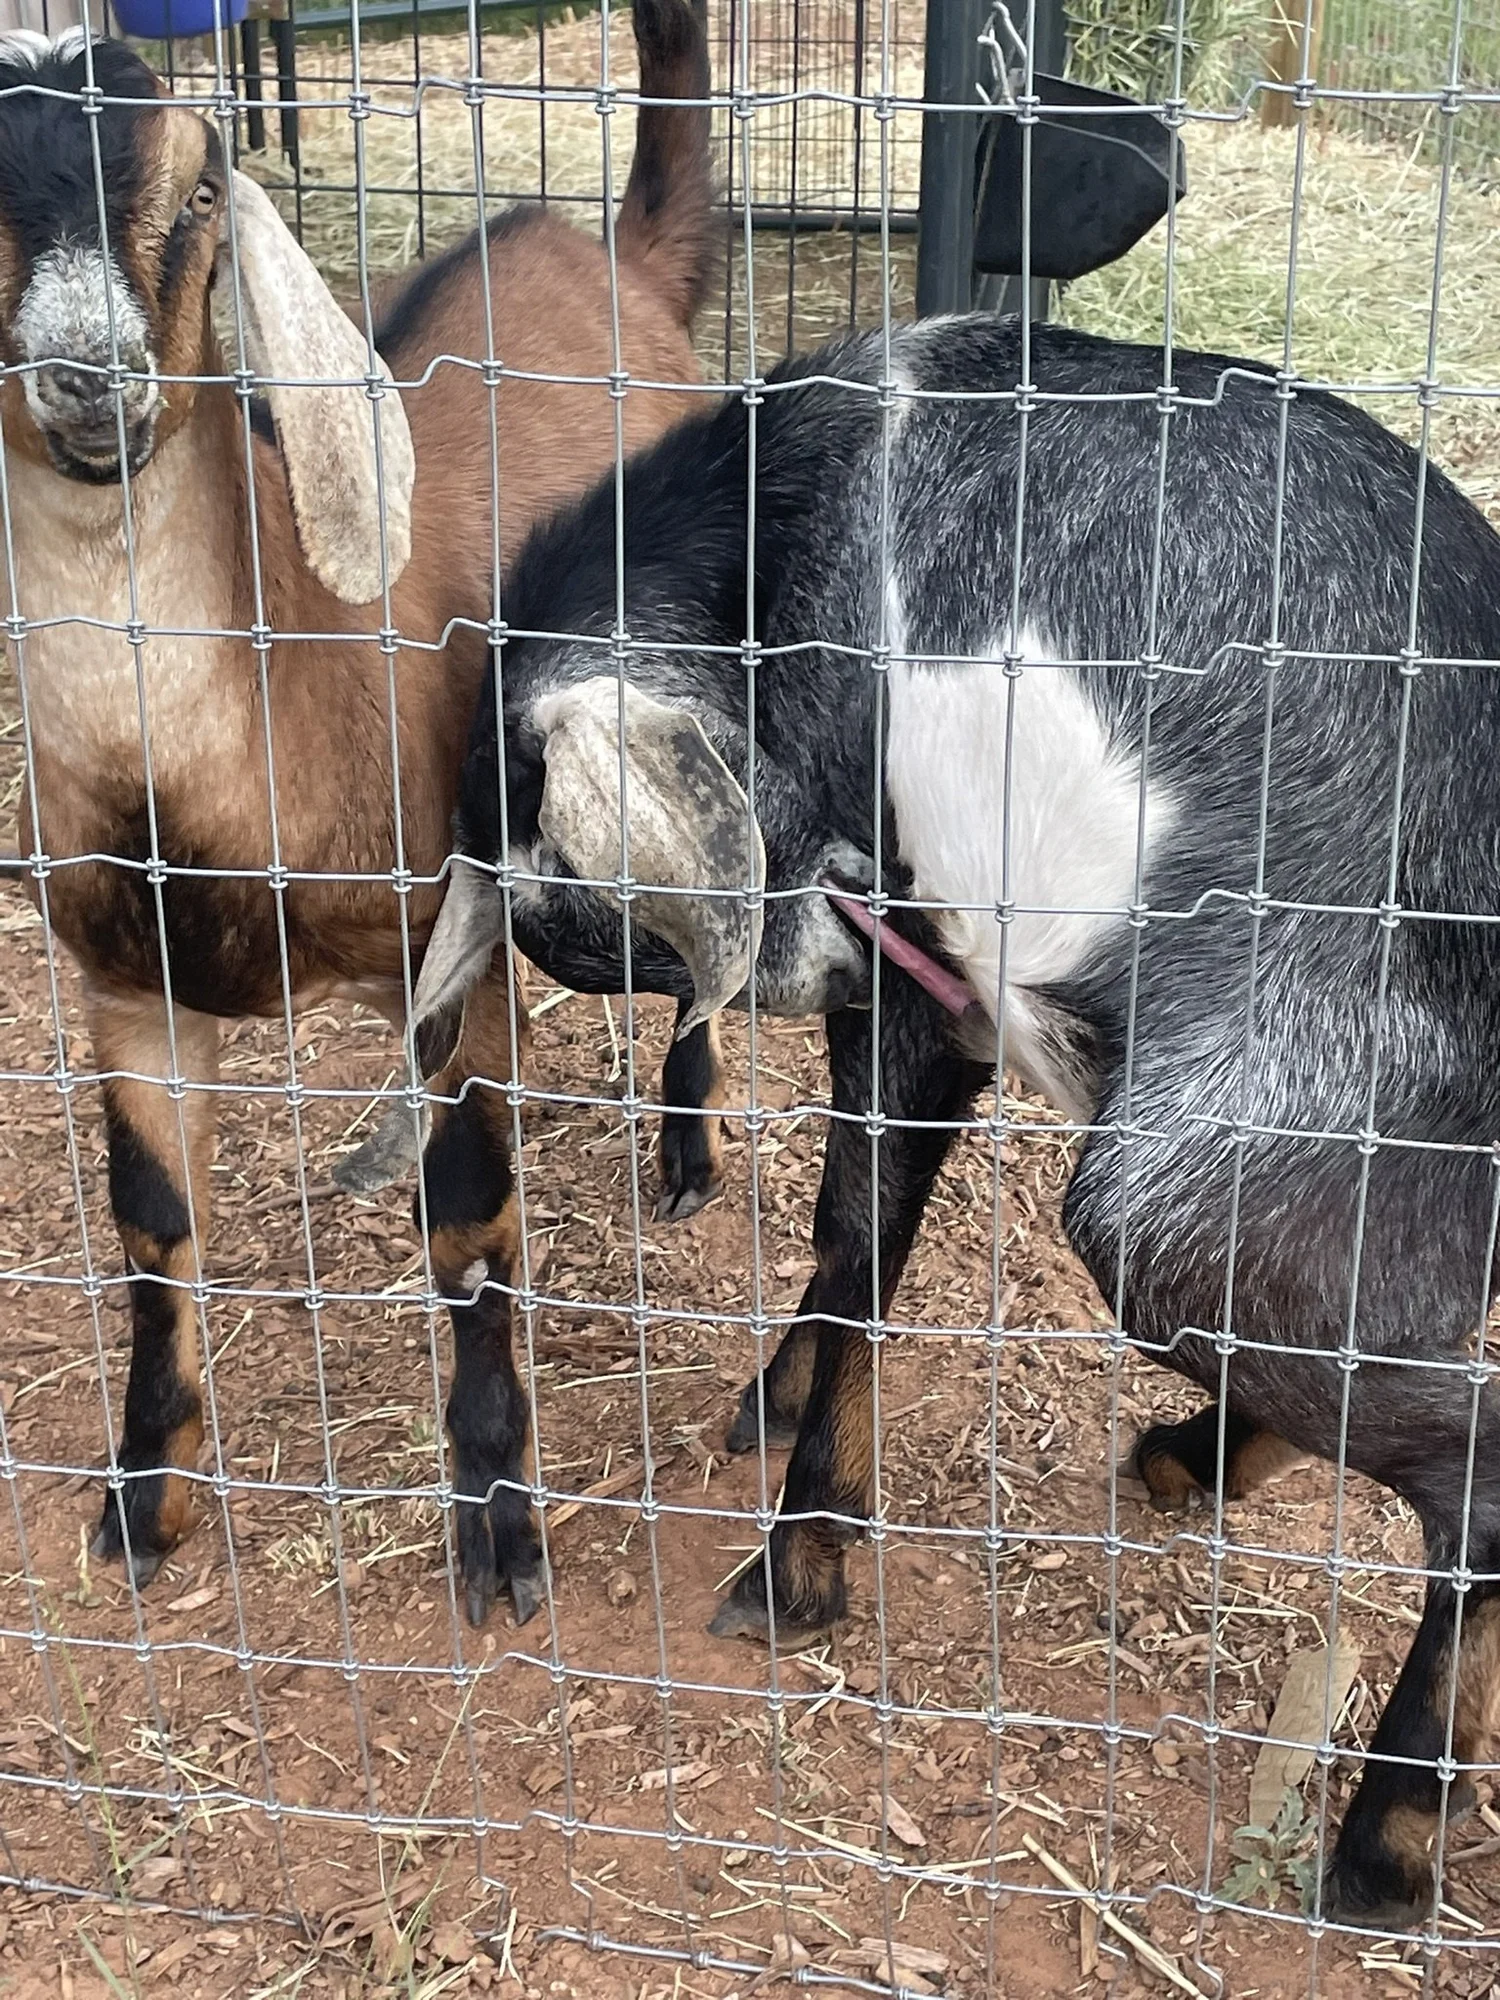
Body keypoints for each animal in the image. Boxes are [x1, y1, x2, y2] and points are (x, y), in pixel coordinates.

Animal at [0, 12, 715, 1629]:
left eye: (204, 189)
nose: (88, 379)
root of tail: (624, 263)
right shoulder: (127, 985)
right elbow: (152, 1232)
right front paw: (143, 1506)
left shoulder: (444, 949)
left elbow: (472, 1226)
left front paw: (501, 1535)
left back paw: (692, 1154)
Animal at [414, 311, 1500, 1928]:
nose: (807, 969)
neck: (777, 545)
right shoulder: (919, 975)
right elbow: (847, 1221)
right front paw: (773, 1408)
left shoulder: (924, 959)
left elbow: (864, 1236)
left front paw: (796, 1568)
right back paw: (1186, 1461)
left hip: (1176, 1190)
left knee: (1475, 1480)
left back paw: (1386, 1842)